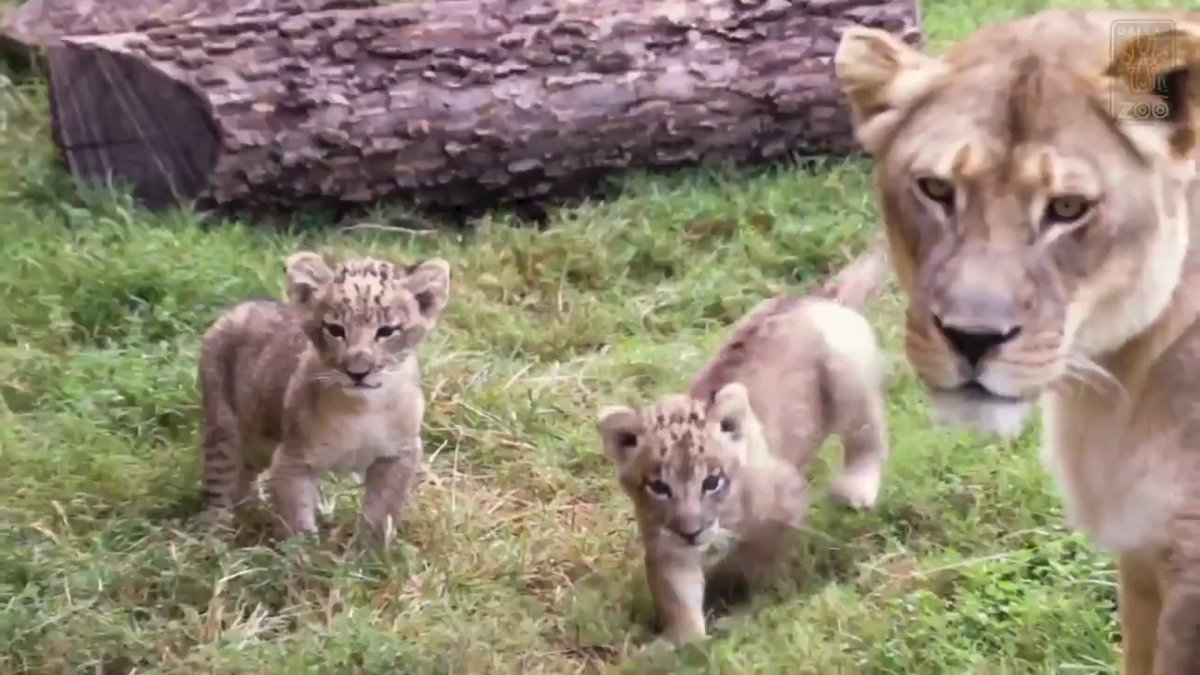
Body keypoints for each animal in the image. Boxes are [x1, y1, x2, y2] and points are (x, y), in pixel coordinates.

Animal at [198, 251, 451, 544]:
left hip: (259, 440)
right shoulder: (292, 458)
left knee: (243, 477)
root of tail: (238, 308)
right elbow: (297, 523)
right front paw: (305, 554)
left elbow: (382, 511)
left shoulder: (400, 454)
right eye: (335, 329)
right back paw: (215, 536)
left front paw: (370, 552)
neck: (362, 408)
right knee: (220, 482)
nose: (358, 372)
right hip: (224, 427)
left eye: (387, 331)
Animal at [595, 242, 891, 645]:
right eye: (658, 486)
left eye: (712, 481)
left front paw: (740, 605)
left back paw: (855, 489)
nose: (692, 532)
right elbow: (676, 596)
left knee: (868, 432)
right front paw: (683, 643)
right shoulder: (665, 542)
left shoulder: (786, 502)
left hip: (848, 376)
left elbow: (756, 562)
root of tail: (816, 294)